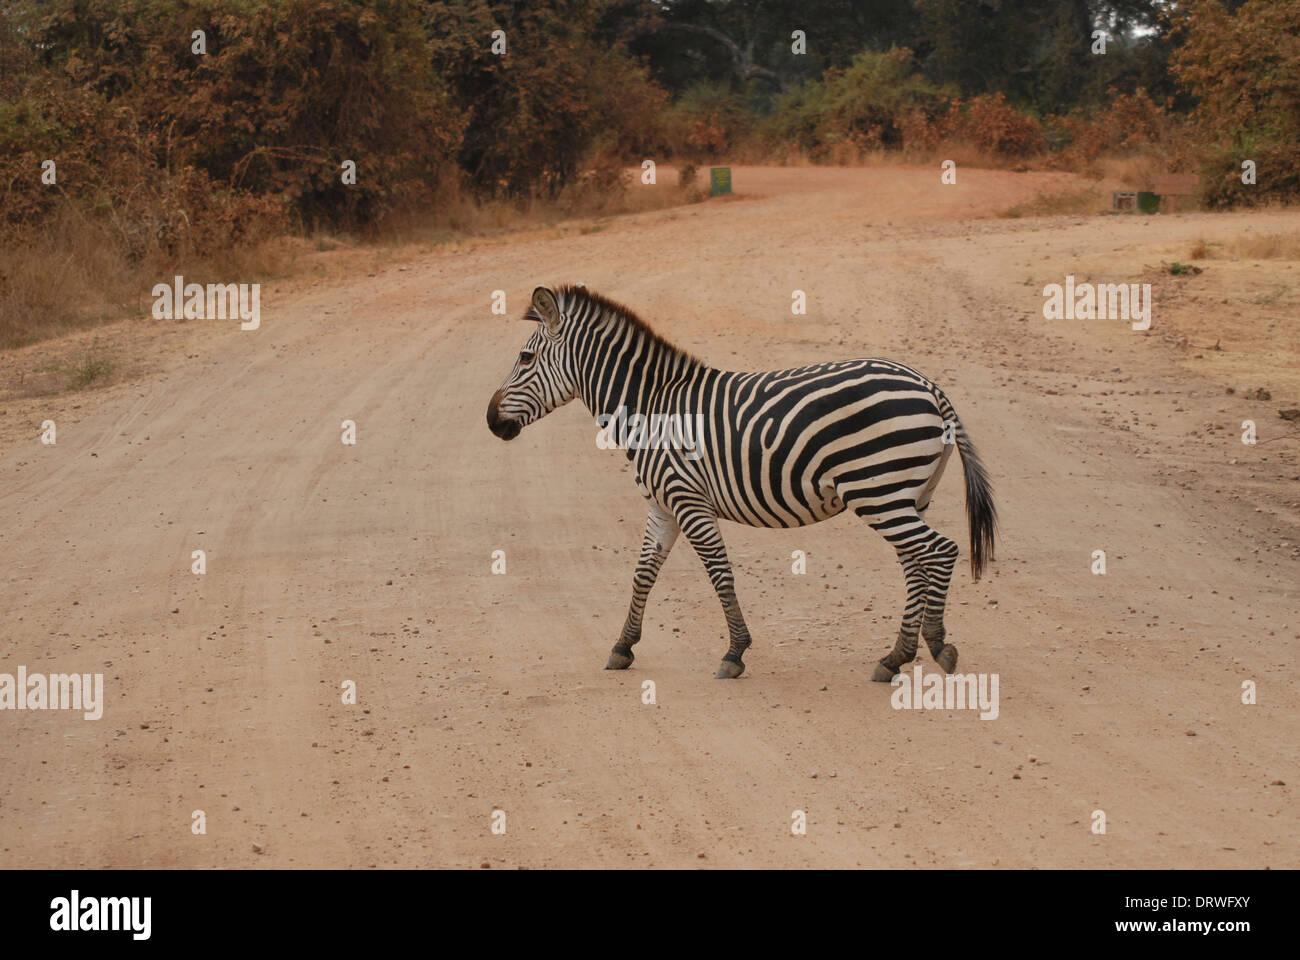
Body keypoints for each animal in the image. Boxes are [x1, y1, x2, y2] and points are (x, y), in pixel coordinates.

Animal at [486, 285, 996, 681]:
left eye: (525, 357)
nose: (491, 421)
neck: (651, 407)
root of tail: (930, 387)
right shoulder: (662, 505)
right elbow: (642, 574)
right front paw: (622, 647)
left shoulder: (688, 499)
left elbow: (719, 573)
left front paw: (734, 653)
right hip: (908, 494)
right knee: (916, 562)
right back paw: (895, 657)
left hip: (878, 489)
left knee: (940, 551)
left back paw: (936, 646)